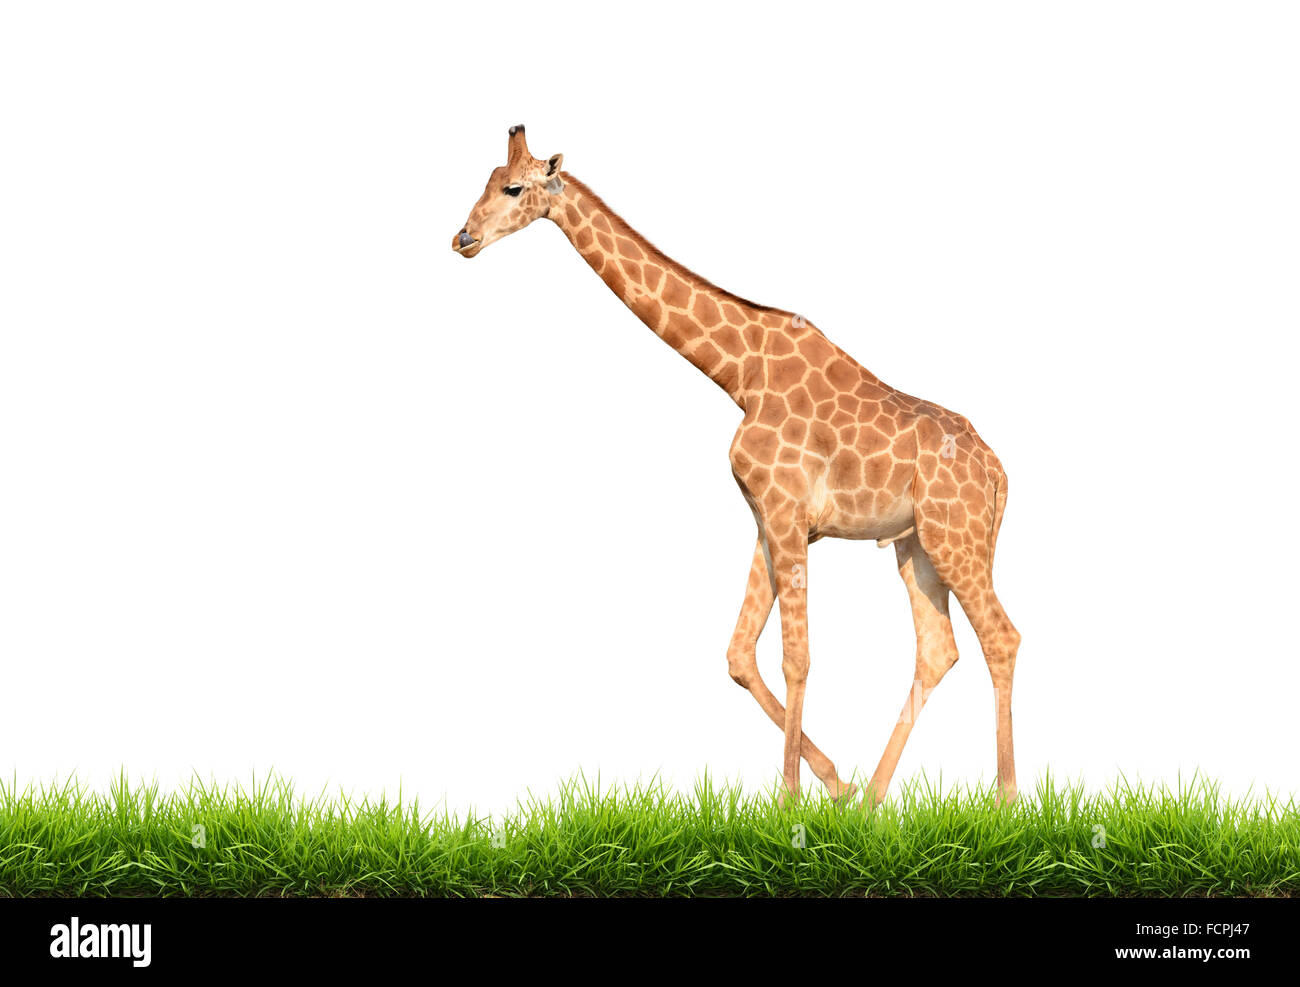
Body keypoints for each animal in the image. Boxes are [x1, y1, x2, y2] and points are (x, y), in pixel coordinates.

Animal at [453, 125, 1022, 807]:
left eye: (514, 188)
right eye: (486, 180)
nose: (462, 238)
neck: (739, 373)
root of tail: (999, 474)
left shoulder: (787, 512)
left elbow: (795, 655)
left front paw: (791, 803)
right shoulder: (767, 516)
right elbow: (739, 655)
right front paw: (834, 783)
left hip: (955, 536)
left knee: (1001, 637)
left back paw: (1005, 802)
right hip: (917, 547)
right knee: (938, 650)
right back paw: (872, 803)